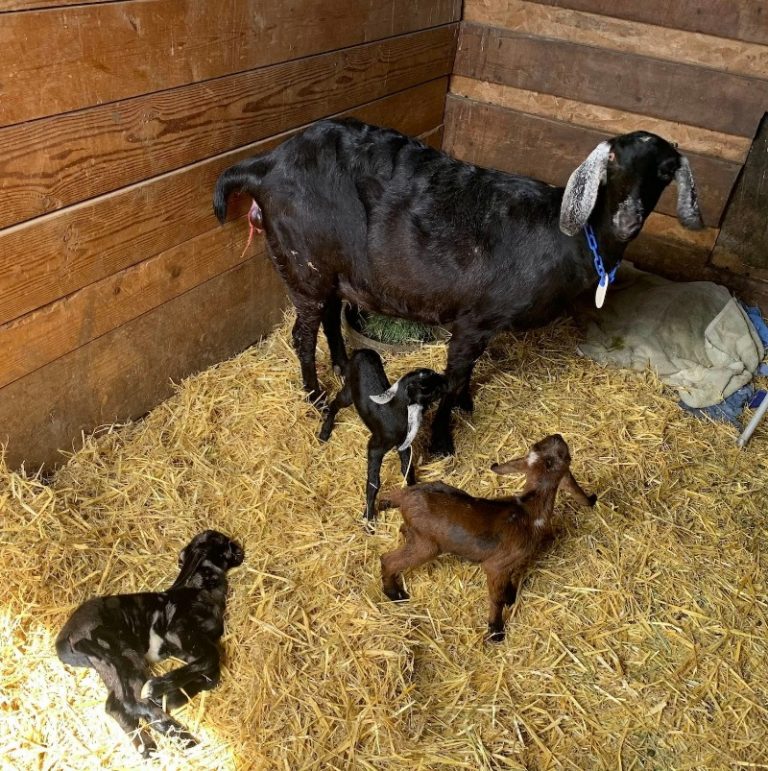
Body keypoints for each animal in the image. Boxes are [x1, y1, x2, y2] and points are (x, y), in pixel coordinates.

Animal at [56, 530, 244, 757]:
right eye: (223, 542)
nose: (240, 551)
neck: (199, 588)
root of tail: (66, 636)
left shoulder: (184, 648)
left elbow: (212, 672)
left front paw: (174, 696)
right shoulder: (178, 630)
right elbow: (212, 658)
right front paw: (160, 690)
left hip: (107, 665)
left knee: (115, 704)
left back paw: (146, 747)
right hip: (122, 654)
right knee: (133, 700)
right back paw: (183, 737)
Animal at [213, 120, 702, 456]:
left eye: (664, 171)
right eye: (613, 162)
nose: (628, 219)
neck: (567, 236)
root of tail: (265, 166)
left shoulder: (482, 326)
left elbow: (465, 375)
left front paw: (466, 403)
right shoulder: (474, 320)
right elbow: (452, 378)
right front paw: (444, 441)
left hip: (332, 269)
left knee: (331, 318)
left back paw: (339, 364)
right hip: (303, 266)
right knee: (301, 334)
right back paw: (314, 396)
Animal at [319, 347, 447, 523]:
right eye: (427, 388)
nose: (446, 381)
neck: (395, 411)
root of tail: (361, 351)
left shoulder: (403, 444)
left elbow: (407, 468)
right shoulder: (375, 448)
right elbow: (374, 482)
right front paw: (368, 517)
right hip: (349, 391)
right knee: (335, 404)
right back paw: (324, 432)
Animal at [380, 434, 595, 642]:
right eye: (558, 458)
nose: (557, 437)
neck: (527, 511)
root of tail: (404, 496)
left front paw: (510, 597)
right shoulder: (496, 565)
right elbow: (496, 597)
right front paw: (496, 630)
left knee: (402, 532)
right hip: (427, 545)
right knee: (388, 559)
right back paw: (395, 594)